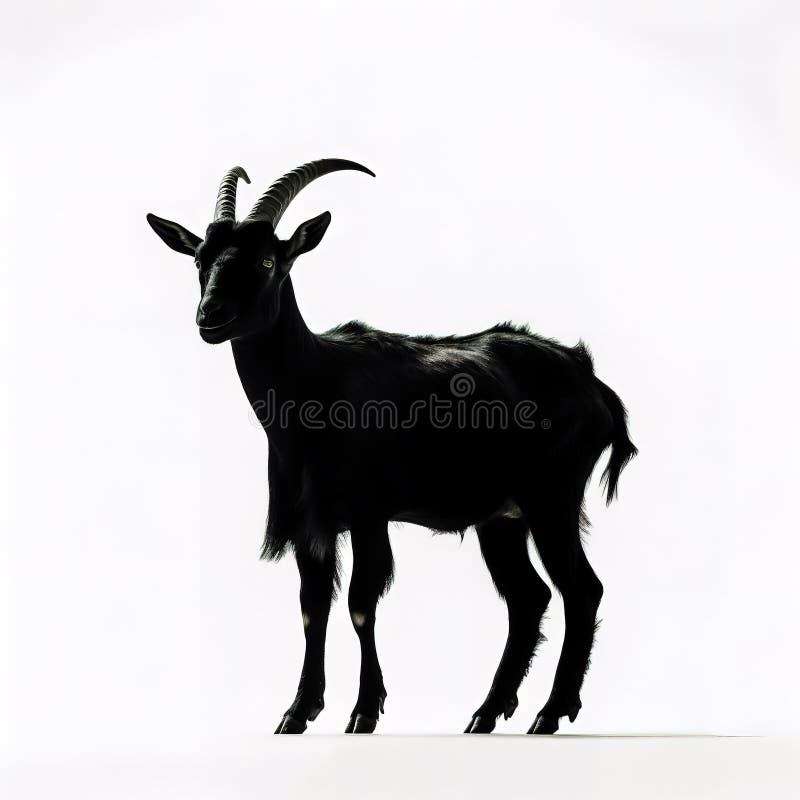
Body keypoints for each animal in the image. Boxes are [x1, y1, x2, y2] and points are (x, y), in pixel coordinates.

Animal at [147, 159, 637, 735]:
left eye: (268, 260)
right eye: (200, 259)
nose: (211, 317)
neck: (315, 385)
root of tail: (594, 384)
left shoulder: (367, 513)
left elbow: (361, 604)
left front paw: (363, 711)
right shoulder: (312, 522)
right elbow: (313, 608)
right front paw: (298, 712)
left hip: (552, 498)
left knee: (581, 589)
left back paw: (550, 713)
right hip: (502, 517)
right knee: (529, 597)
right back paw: (487, 713)